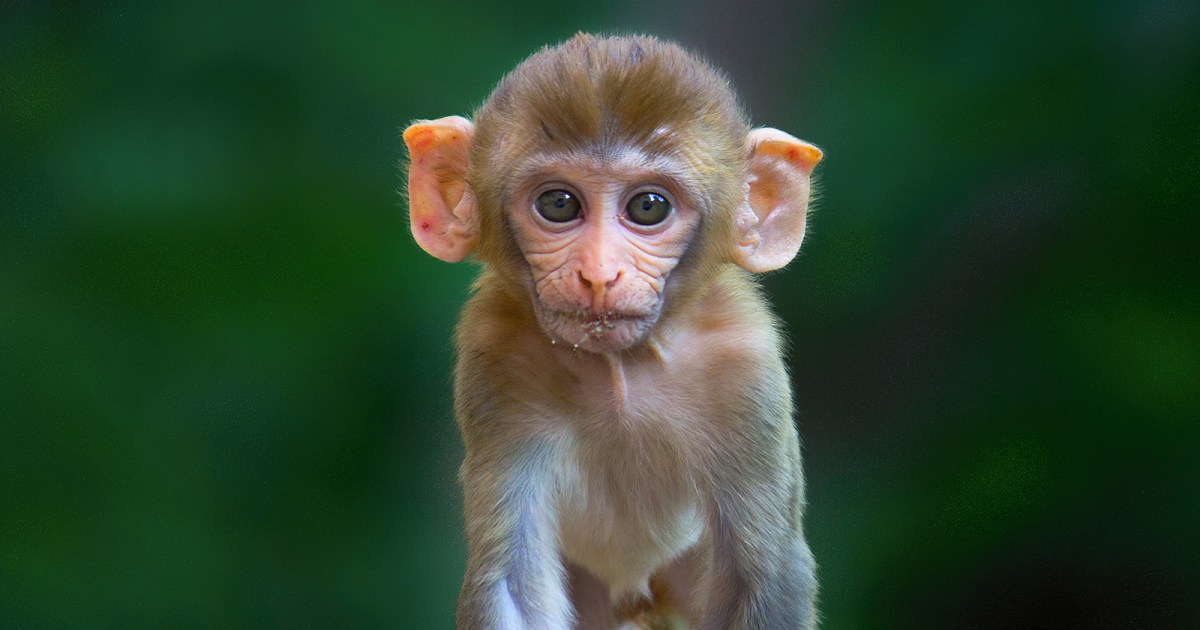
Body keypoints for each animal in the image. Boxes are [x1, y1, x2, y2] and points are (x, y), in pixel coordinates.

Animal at [403, 34, 823, 629]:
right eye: (558, 204)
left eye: (648, 207)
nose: (600, 275)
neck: (620, 367)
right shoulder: (498, 355)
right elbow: (511, 580)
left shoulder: (743, 364)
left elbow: (763, 576)